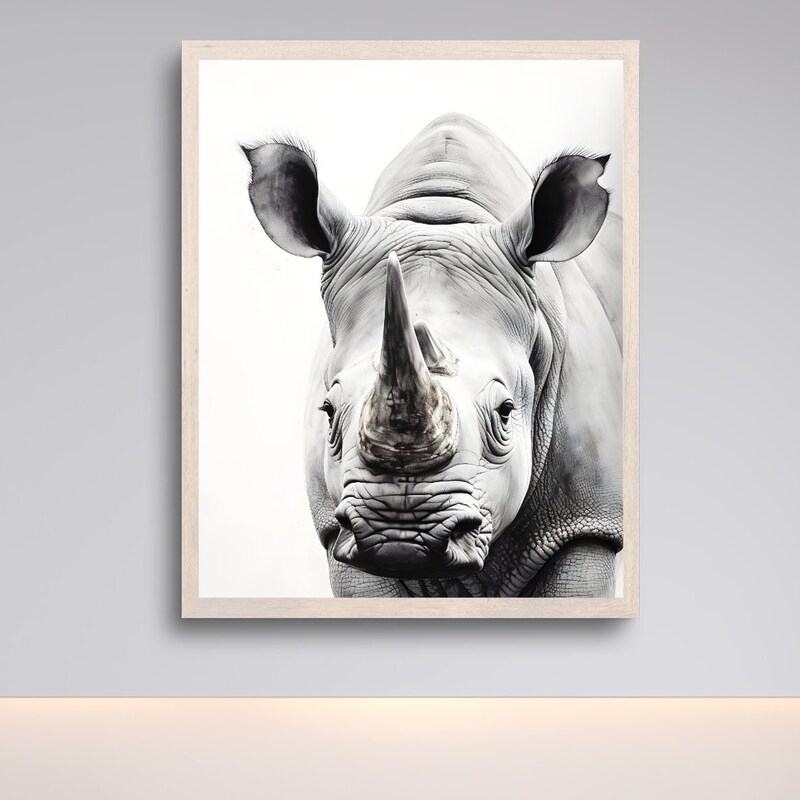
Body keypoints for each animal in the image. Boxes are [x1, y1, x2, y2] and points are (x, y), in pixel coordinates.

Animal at [243, 113, 622, 598]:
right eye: (327, 412)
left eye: (506, 411)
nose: (400, 533)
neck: (441, 213)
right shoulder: (336, 528)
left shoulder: (588, 521)